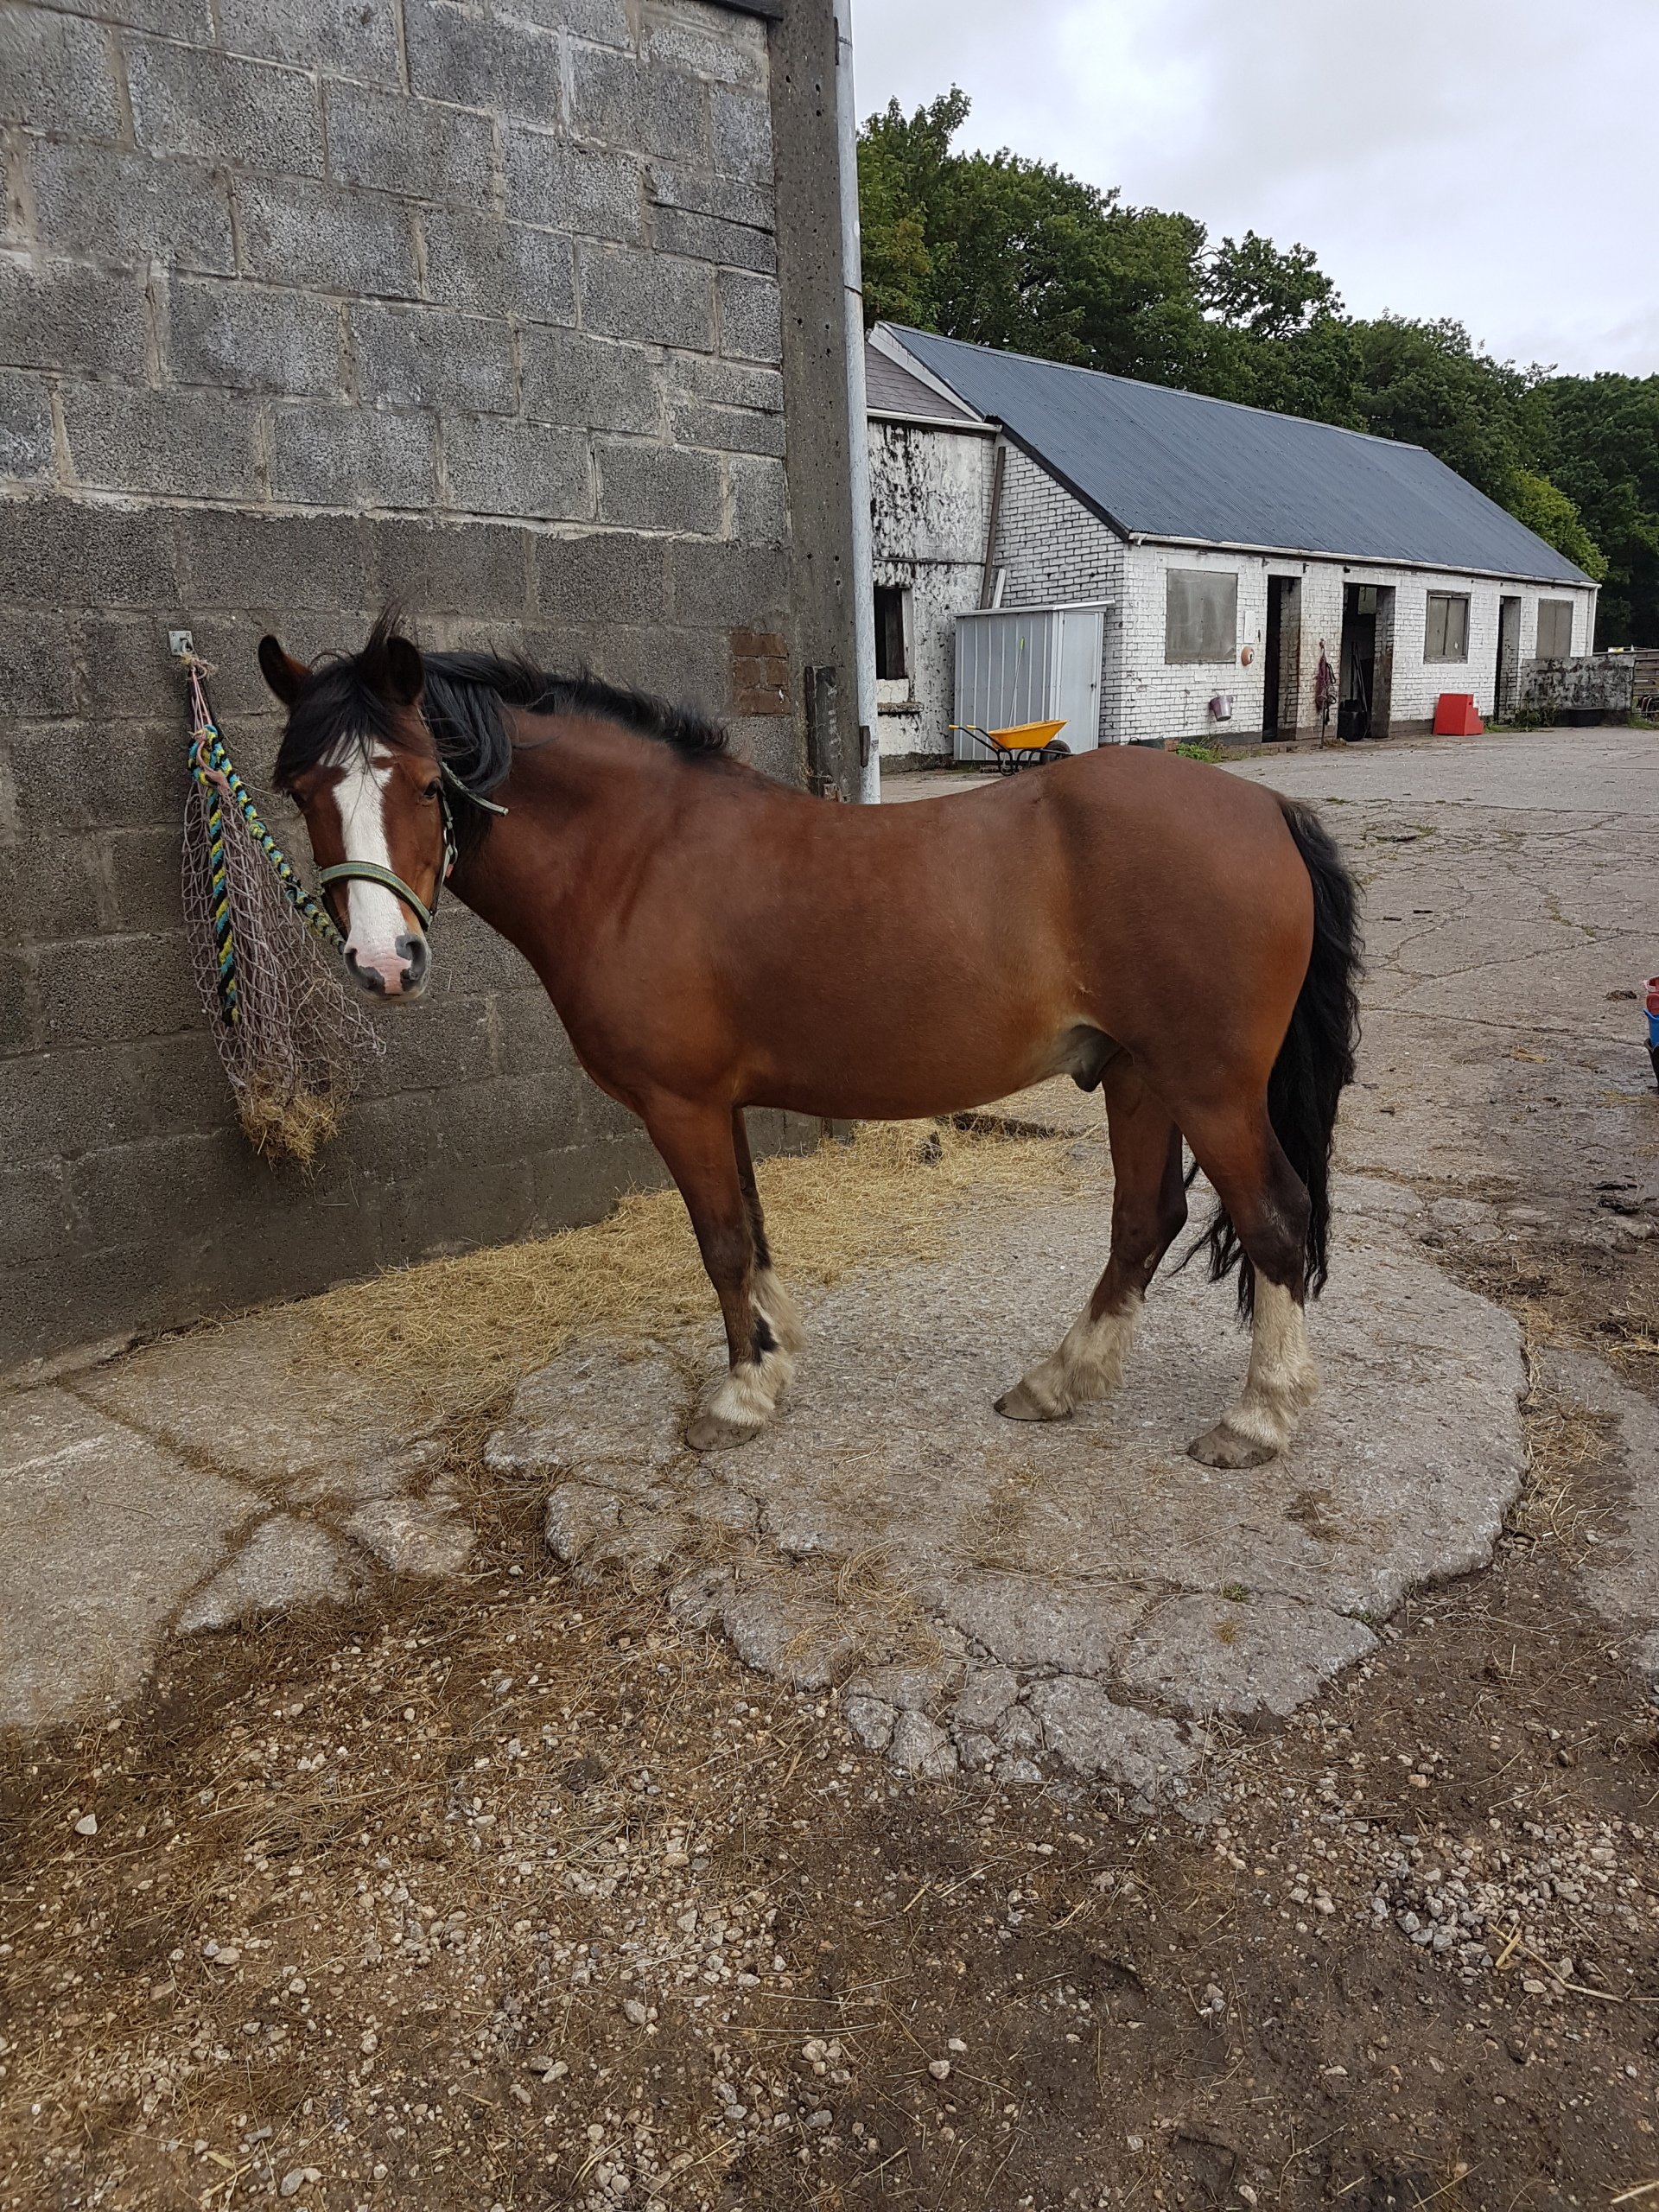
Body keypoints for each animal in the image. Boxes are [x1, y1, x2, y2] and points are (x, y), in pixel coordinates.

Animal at [258, 614, 1360, 1468]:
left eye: (422, 782)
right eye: (304, 789)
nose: (383, 960)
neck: (636, 856)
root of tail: (1268, 808)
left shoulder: (681, 1103)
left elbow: (721, 1241)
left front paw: (740, 1398)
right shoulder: (721, 1104)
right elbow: (751, 1230)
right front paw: (775, 1357)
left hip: (1208, 1085)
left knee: (1273, 1217)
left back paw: (1256, 1420)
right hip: (1135, 1073)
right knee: (1146, 1218)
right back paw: (1058, 1382)